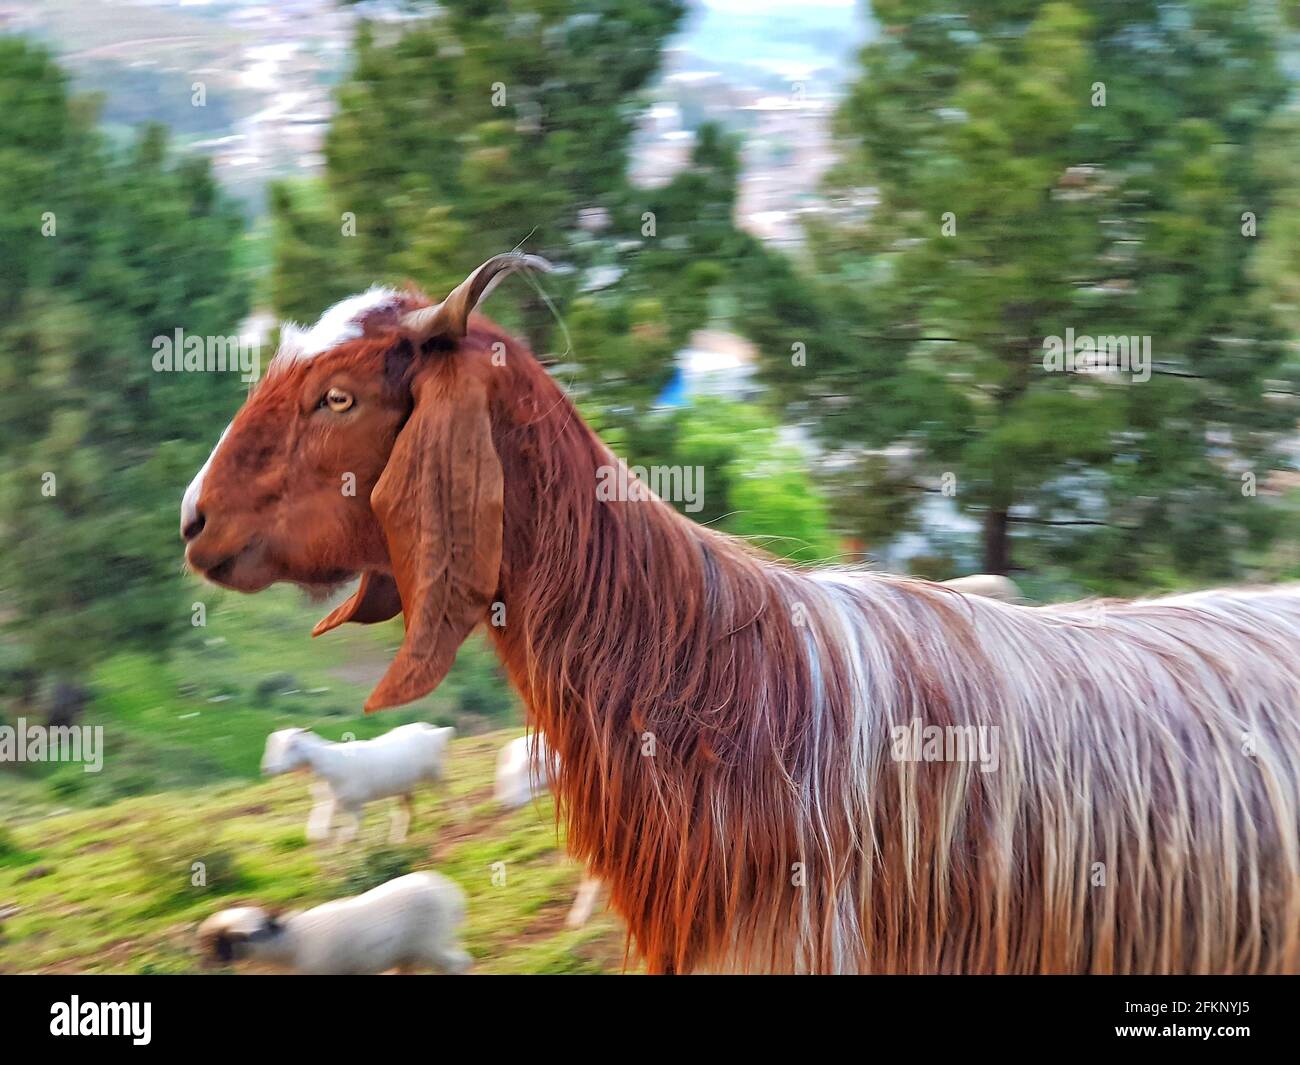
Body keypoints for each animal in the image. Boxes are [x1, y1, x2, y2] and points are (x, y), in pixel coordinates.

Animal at [197, 872, 470, 975]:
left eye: (218, 941)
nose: (206, 965)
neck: (291, 944)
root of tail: (449, 891)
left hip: (429, 945)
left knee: (458, 964)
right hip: (414, 951)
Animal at [261, 723, 454, 844]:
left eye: (292, 746)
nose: (267, 769)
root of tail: (433, 730)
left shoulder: (354, 802)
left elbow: (354, 826)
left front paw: (351, 844)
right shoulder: (328, 802)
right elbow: (319, 825)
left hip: (434, 773)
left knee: (444, 791)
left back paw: (453, 818)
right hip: (402, 785)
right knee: (407, 805)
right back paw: (405, 830)